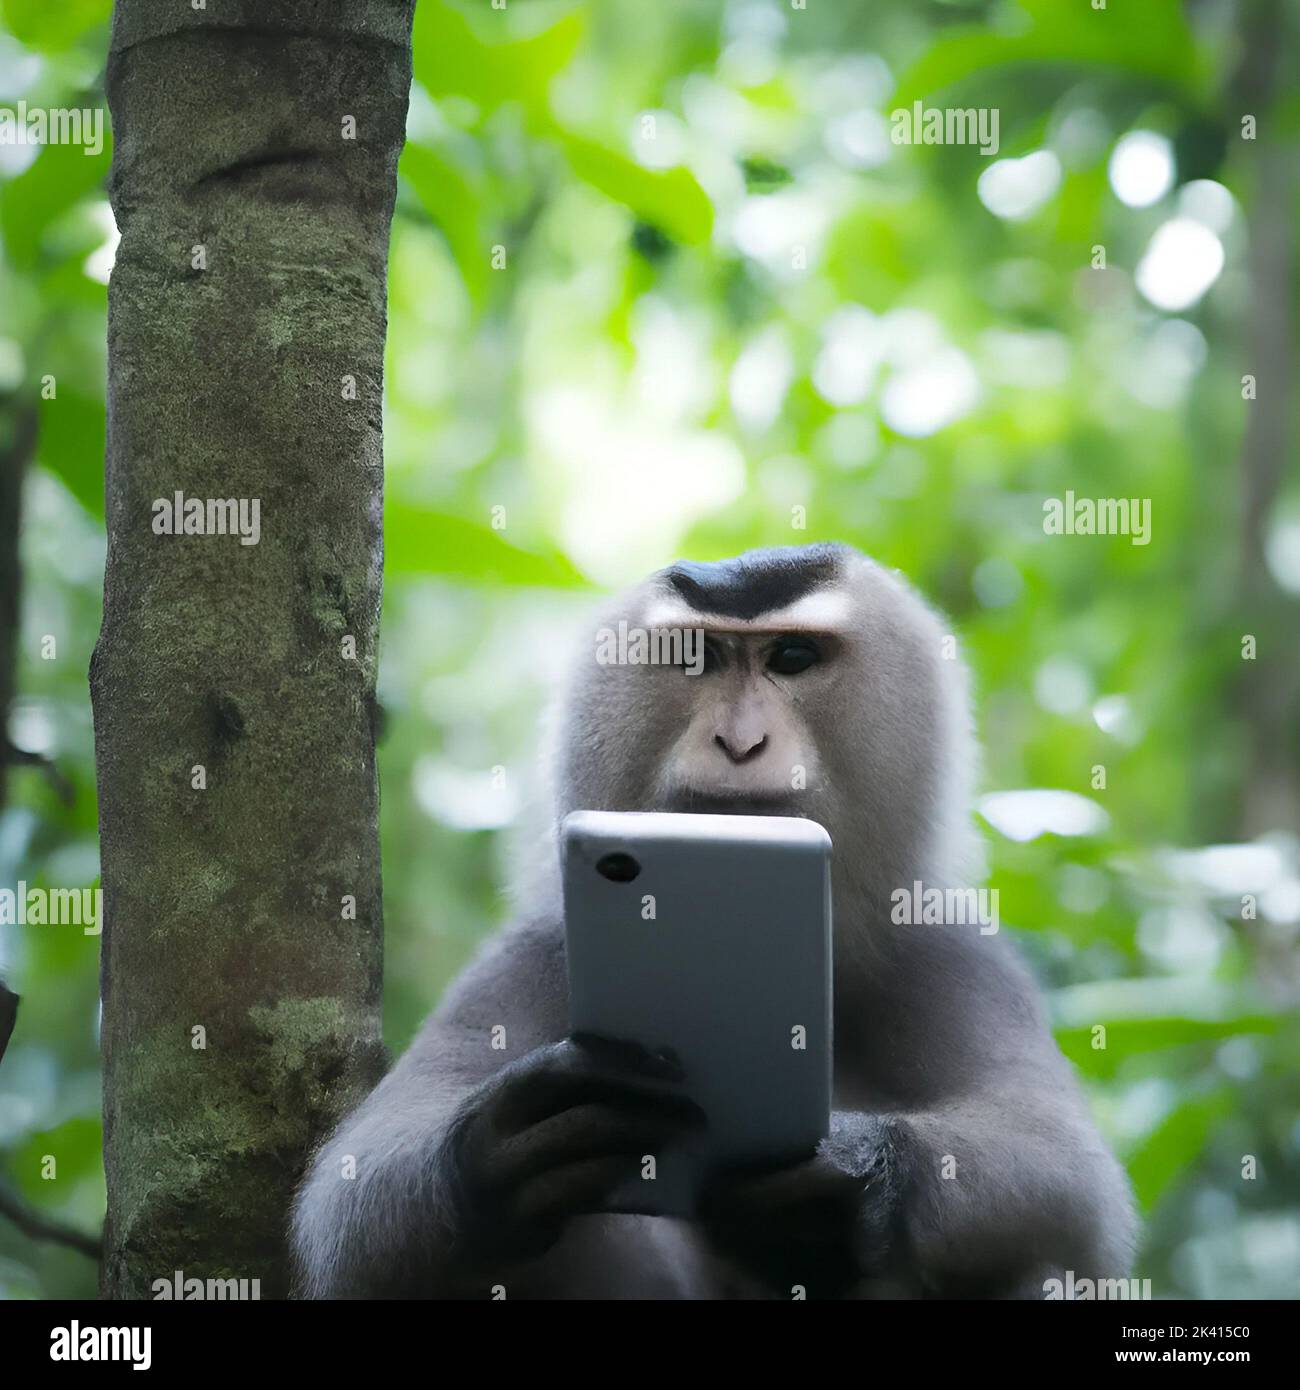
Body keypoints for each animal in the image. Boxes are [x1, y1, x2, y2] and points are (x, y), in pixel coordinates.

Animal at [290, 542, 1136, 1299]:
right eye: (696, 658)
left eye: (792, 658)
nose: (740, 740)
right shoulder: (535, 952)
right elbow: (351, 1209)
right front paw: (500, 1152)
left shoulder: (945, 953)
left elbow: (1069, 1181)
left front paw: (850, 1176)